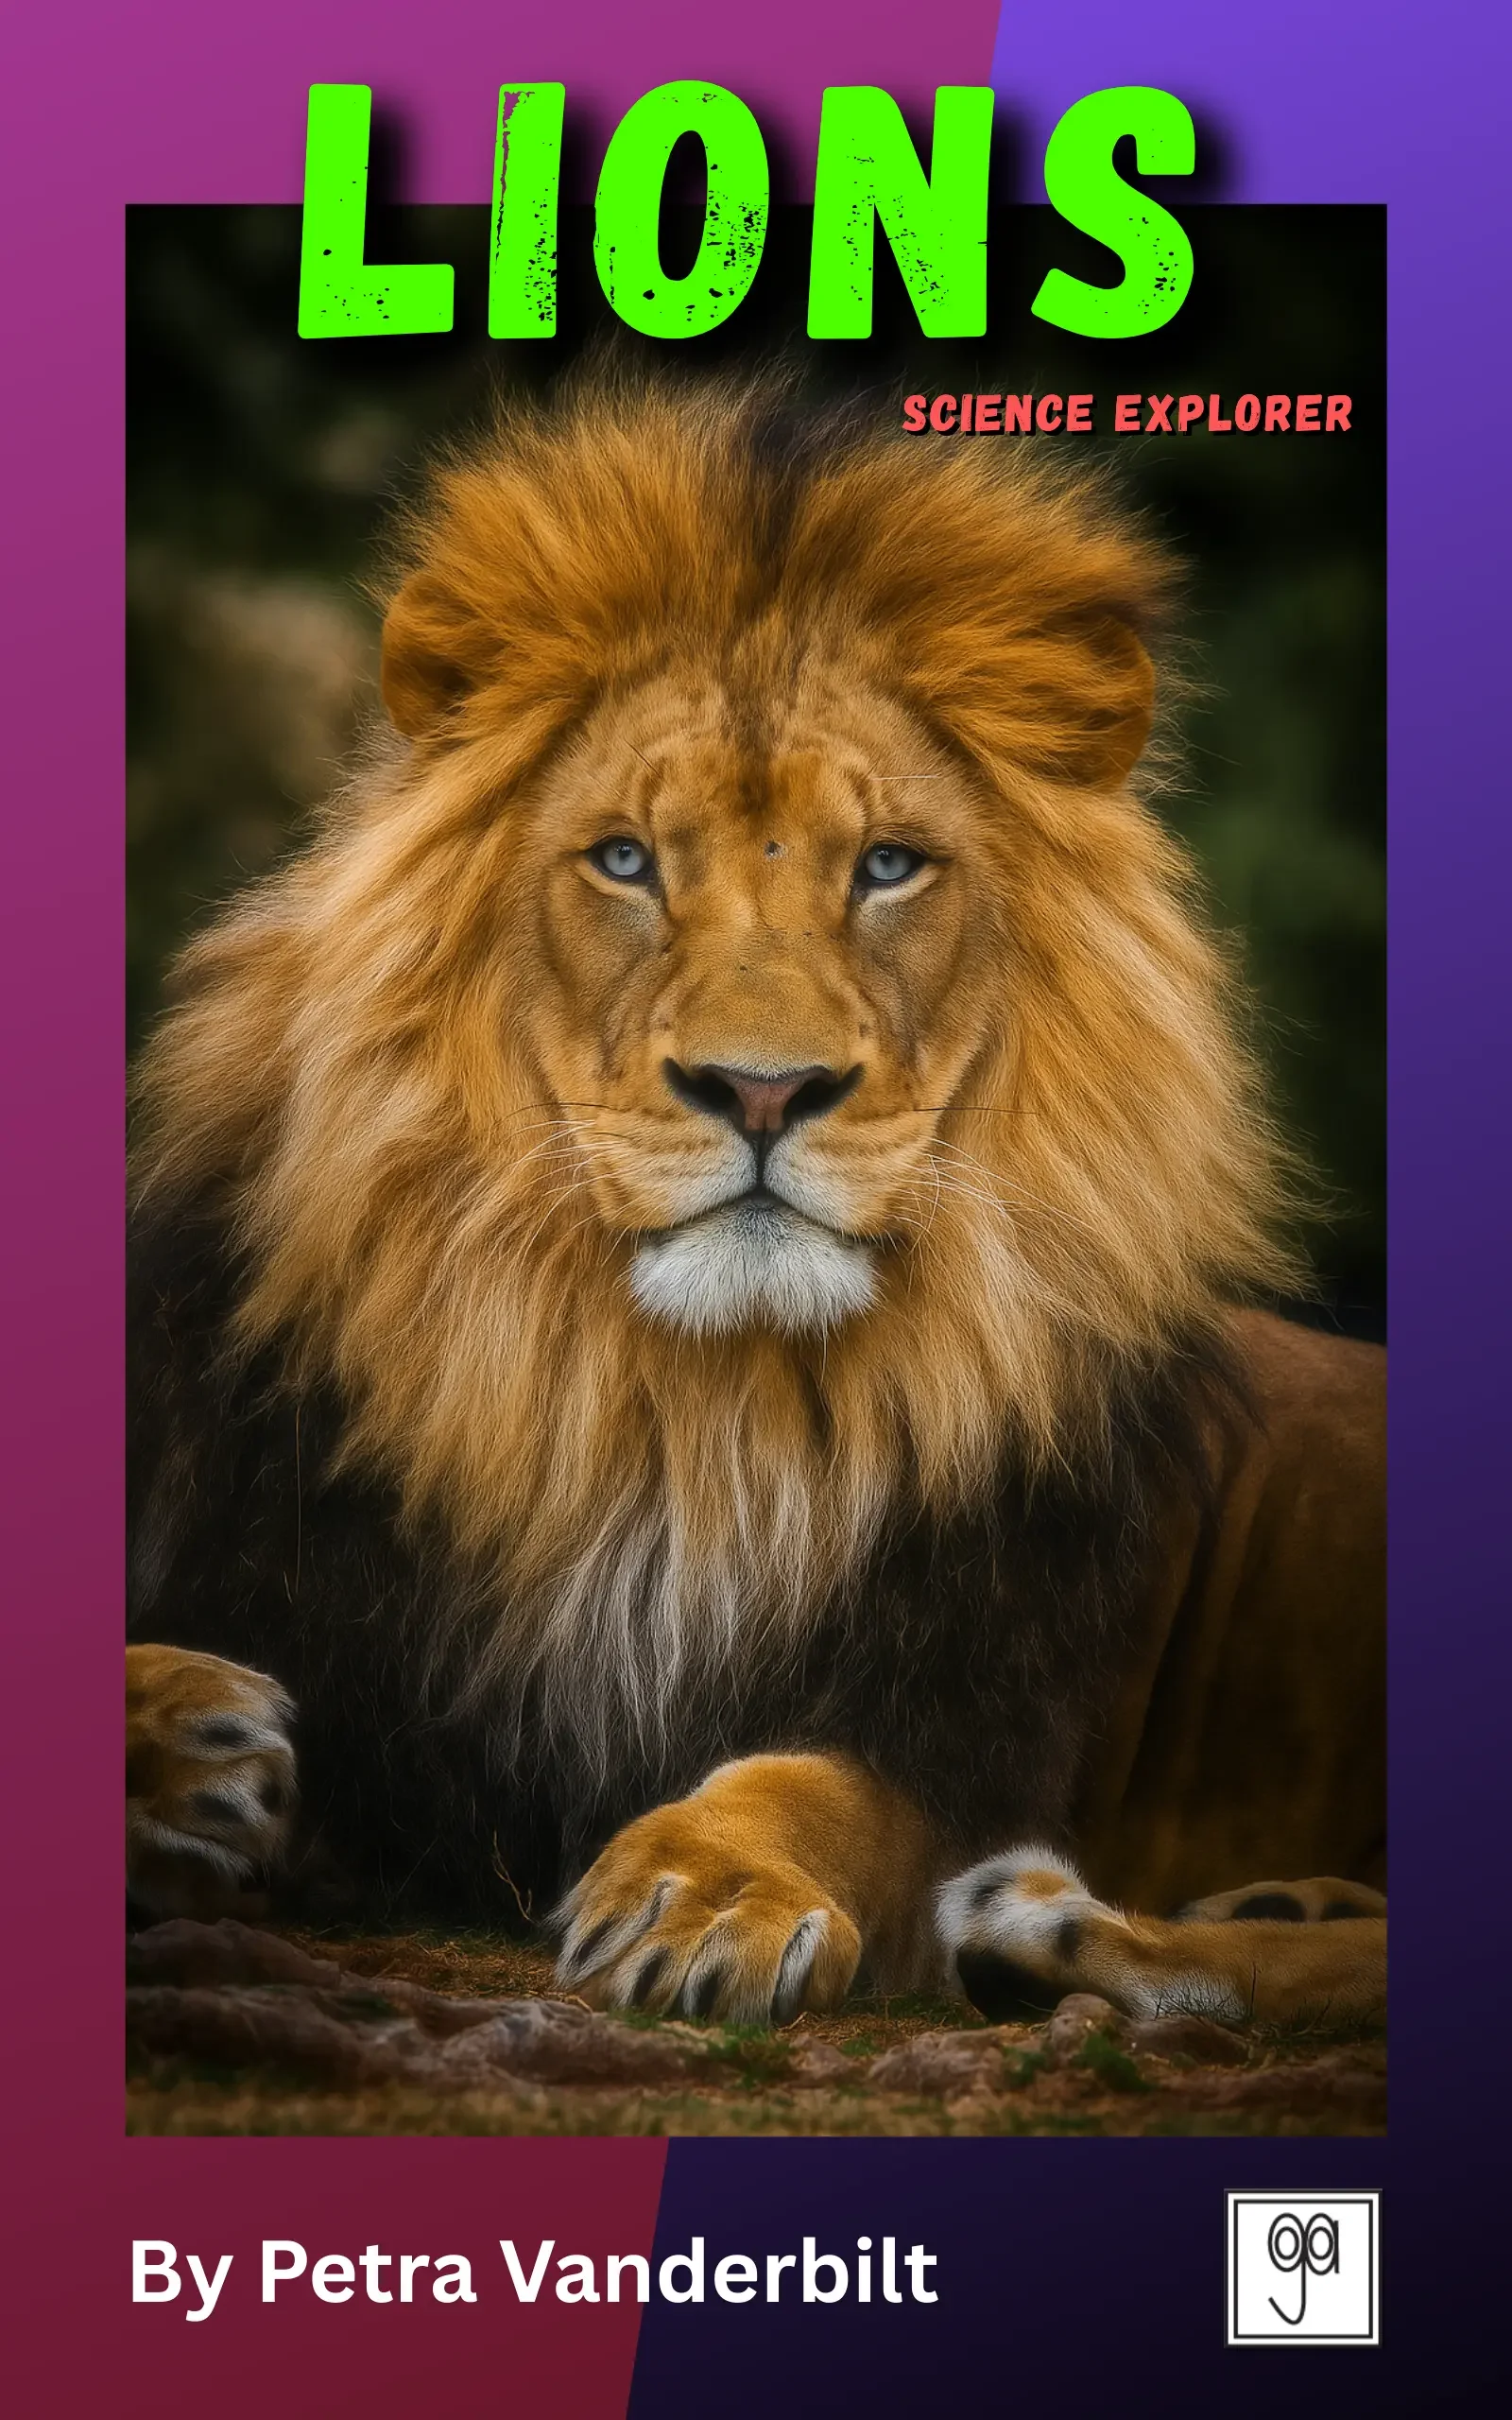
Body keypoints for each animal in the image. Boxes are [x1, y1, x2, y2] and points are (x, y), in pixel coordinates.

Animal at [127, 374, 1385, 2032]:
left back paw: (1064, 1929)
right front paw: (179, 1745)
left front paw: (708, 1889)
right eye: (624, 861)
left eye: (891, 867)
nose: (765, 1090)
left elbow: (817, 1788)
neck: (681, 1417)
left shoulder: (965, 1725)